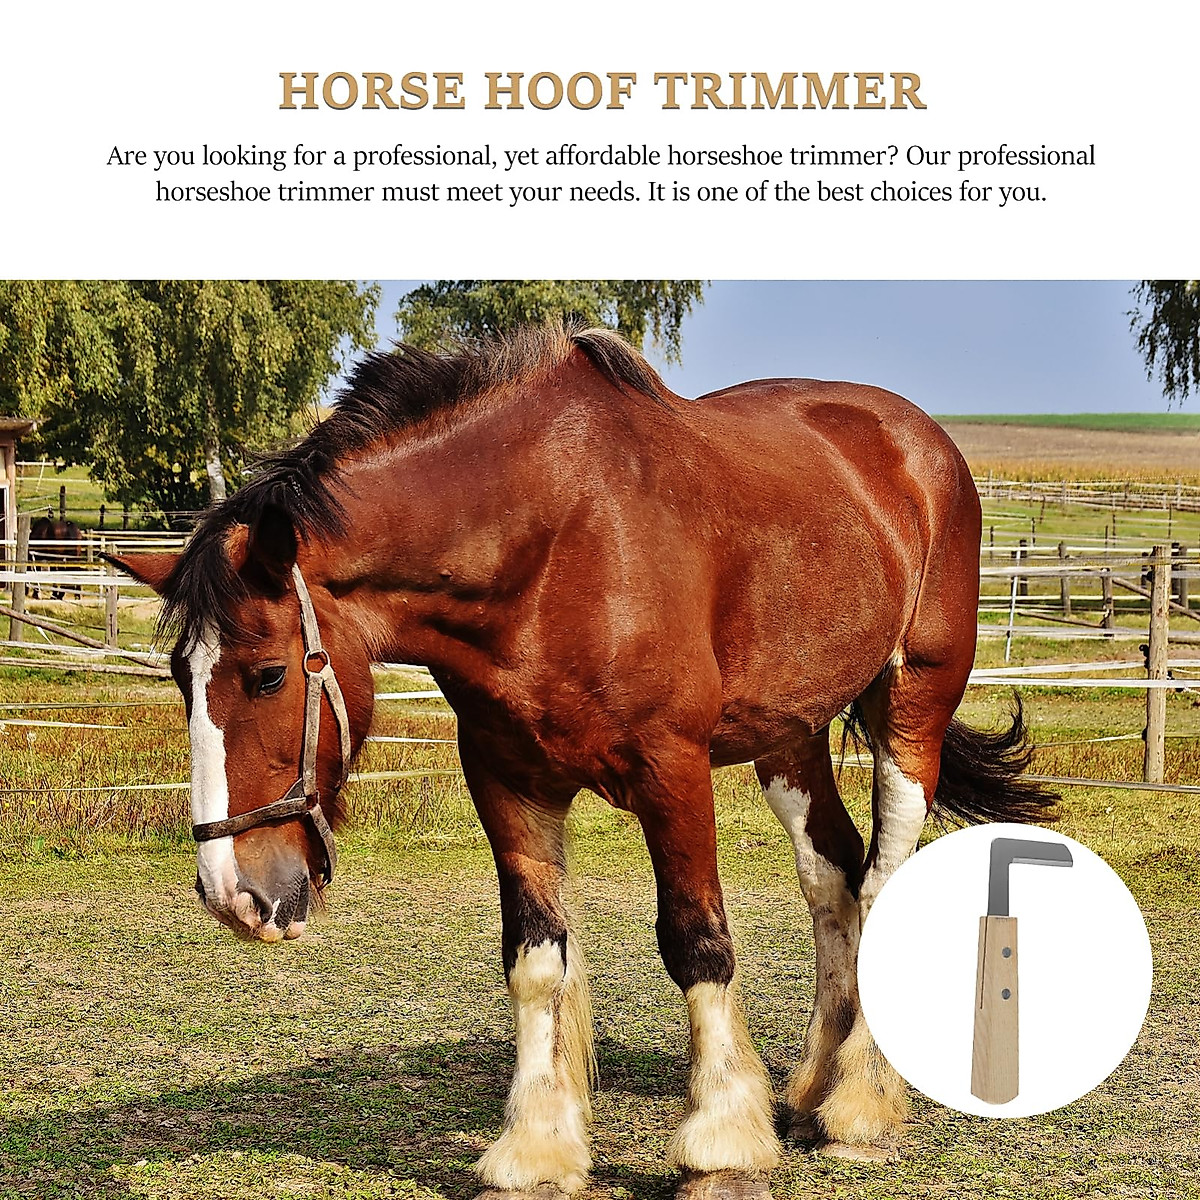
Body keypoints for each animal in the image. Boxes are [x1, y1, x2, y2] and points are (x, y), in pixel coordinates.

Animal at [110, 324, 1055, 1200]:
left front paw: (720, 1145)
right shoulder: (507, 781)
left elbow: (698, 945)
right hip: (789, 734)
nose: (234, 894)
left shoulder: (672, 772)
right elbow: (534, 960)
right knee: (832, 877)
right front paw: (536, 1149)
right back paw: (811, 1090)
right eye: (181, 678)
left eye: (267, 674)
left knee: (883, 873)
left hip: (911, 708)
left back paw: (860, 1105)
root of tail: (918, 442)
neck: (551, 545)